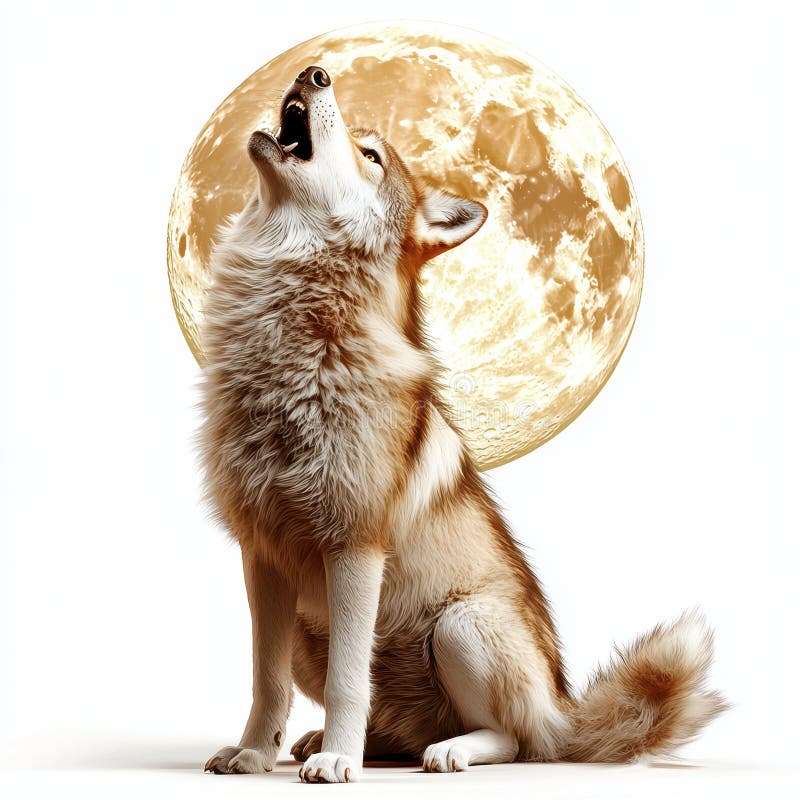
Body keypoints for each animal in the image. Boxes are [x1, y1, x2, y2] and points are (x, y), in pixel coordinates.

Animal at [198, 65, 725, 783]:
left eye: (371, 155)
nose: (315, 72)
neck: (294, 343)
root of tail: (565, 711)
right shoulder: (264, 558)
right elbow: (265, 680)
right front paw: (254, 754)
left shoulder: (355, 546)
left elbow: (347, 681)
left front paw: (338, 762)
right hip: (314, 634)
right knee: (393, 722)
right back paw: (343, 743)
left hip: (459, 626)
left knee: (512, 739)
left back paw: (437, 750)